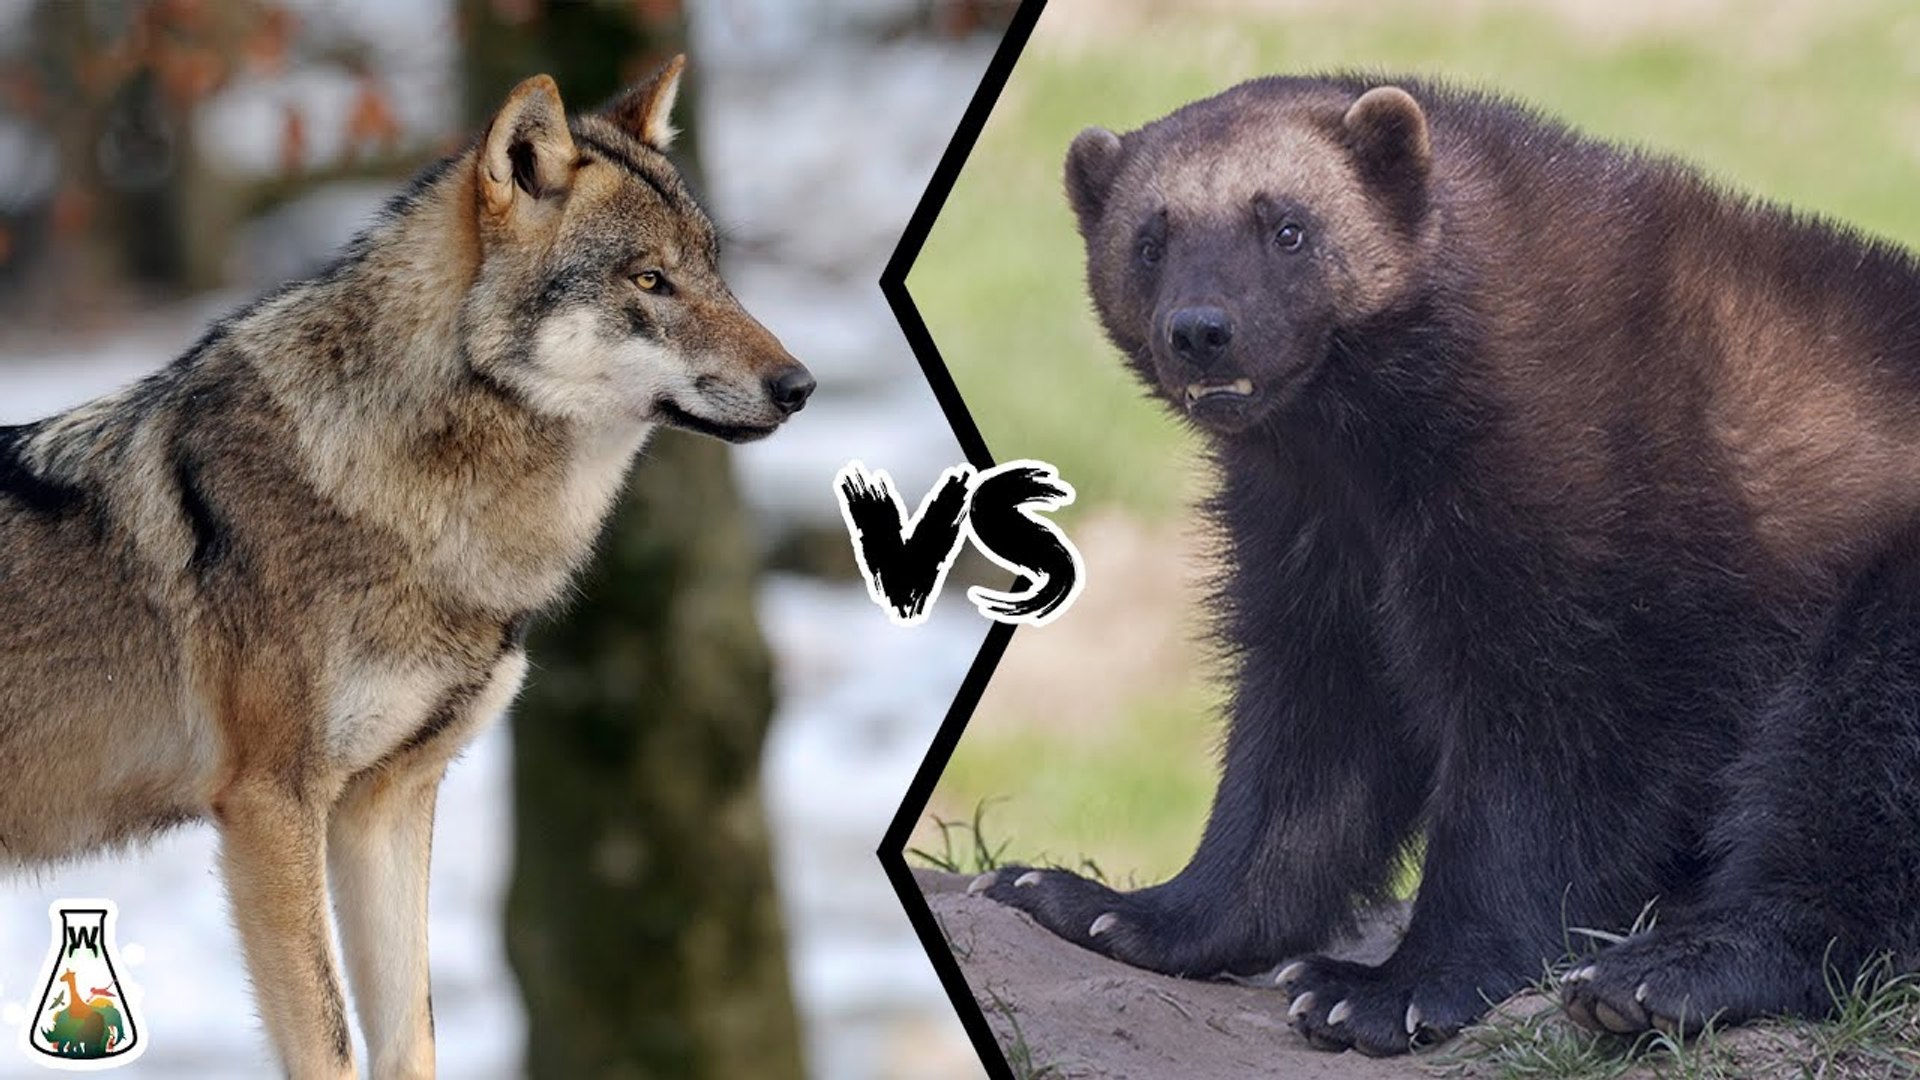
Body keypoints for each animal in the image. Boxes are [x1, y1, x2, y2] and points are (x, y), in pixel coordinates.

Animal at [0, 57, 812, 1078]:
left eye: (714, 271)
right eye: (650, 280)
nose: (801, 387)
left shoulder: (385, 803)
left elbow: (409, 1036)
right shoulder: (270, 809)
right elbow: (329, 1043)